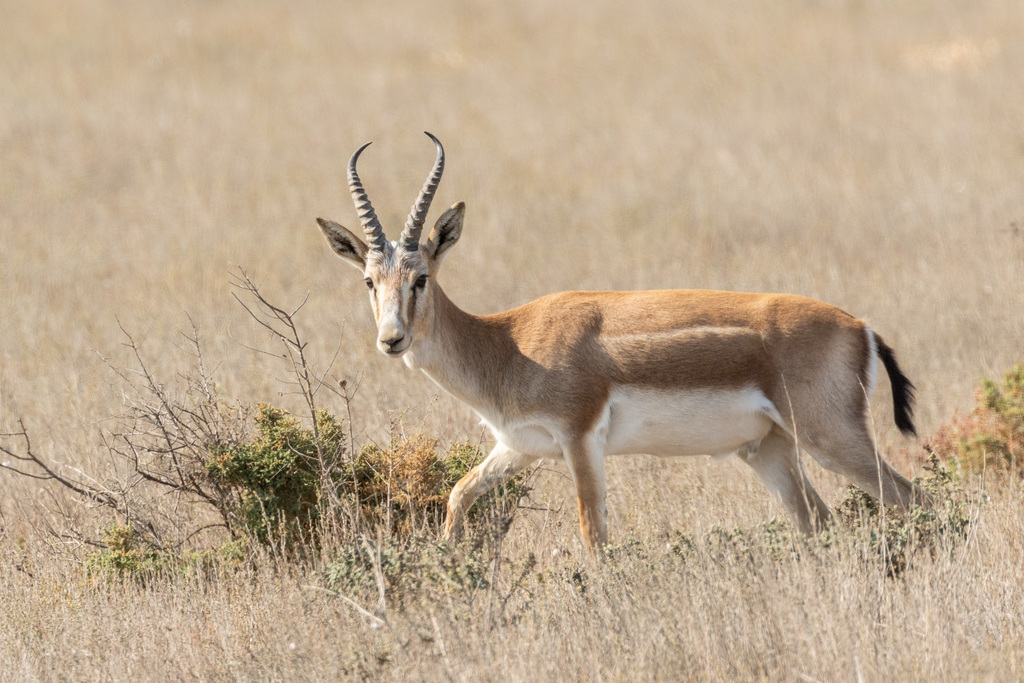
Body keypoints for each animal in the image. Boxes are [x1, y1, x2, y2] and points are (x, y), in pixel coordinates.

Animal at [316, 132, 926, 554]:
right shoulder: (518, 445)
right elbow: (457, 494)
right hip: (770, 450)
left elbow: (594, 535)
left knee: (911, 498)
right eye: (369, 280)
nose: (391, 339)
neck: (508, 343)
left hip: (830, 437)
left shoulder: (580, 439)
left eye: (421, 278)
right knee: (820, 523)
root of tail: (861, 327)